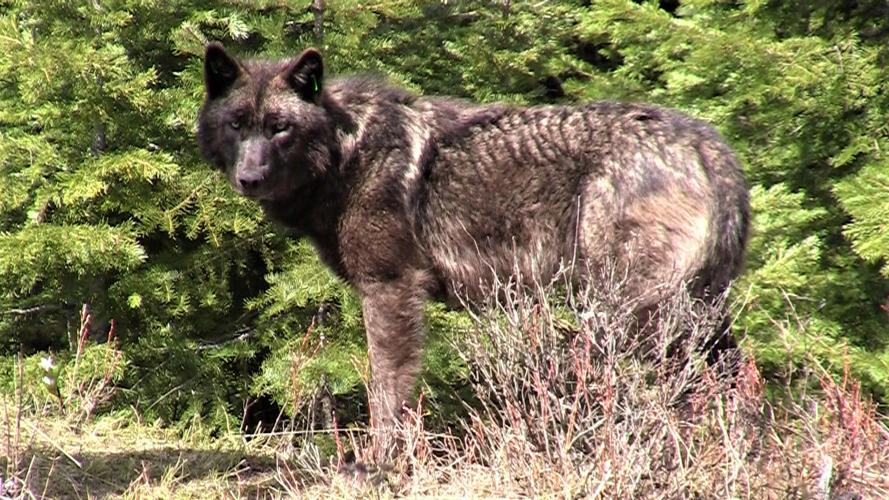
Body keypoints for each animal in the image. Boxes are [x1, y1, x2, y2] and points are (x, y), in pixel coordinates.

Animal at [197, 44, 750, 449]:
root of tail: (709, 144)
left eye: (280, 128)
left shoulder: (390, 288)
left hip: (632, 317)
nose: (249, 178)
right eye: (237, 124)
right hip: (698, 317)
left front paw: (380, 465)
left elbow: (386, 393)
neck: (345, 154)